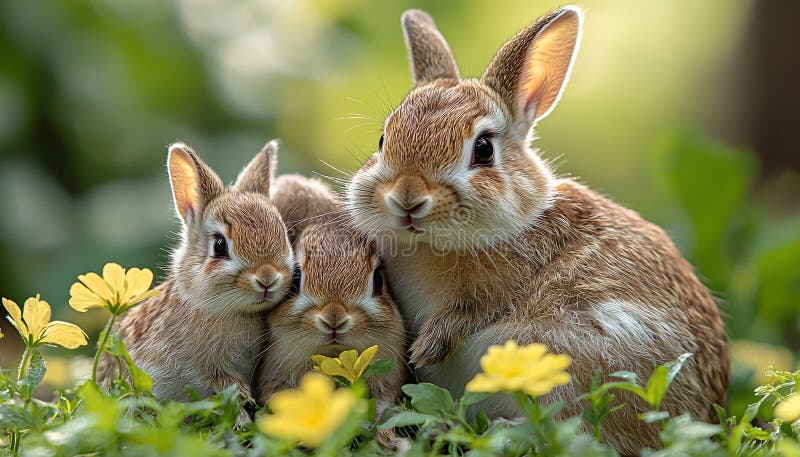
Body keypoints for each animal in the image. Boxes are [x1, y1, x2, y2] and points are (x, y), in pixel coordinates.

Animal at [98, 141, 295, 425]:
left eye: (285, 236)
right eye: (220, 245)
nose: (267, 278)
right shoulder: (201, 369)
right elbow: (225, 385)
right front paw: (243, 411)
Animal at [345, 6, 729, 455]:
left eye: (483, 149)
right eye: (382, 139)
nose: (407, 198)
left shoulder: (497, 289)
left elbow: (470, 312)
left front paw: (425, 349)